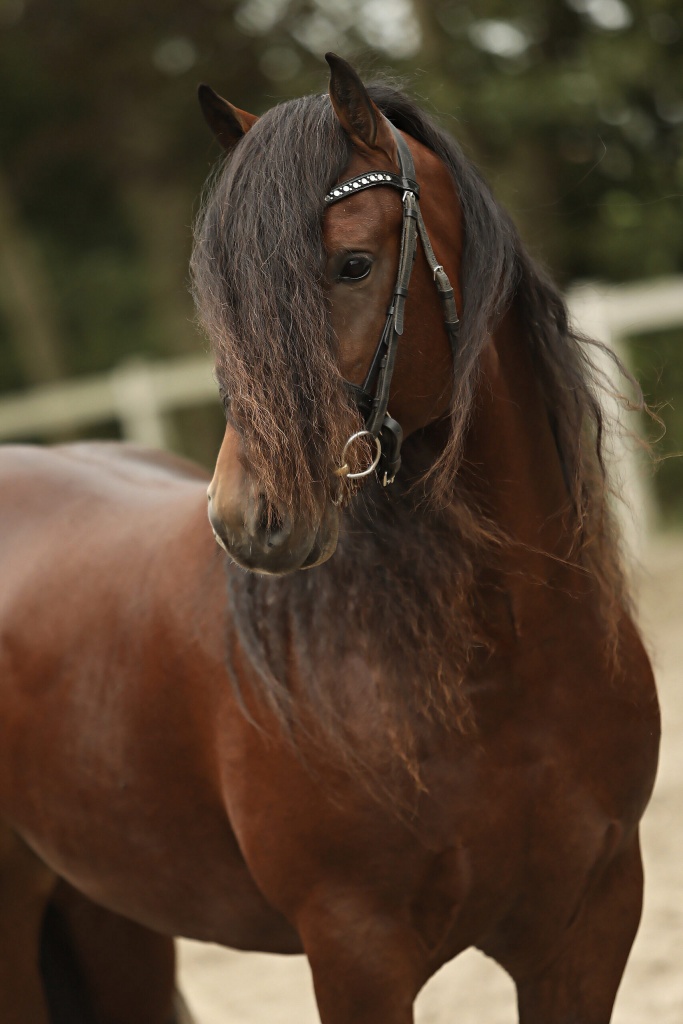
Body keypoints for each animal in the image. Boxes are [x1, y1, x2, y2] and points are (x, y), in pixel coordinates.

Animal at [0, 53, 659, 1024]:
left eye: (353, 265)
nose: (247, 518)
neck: (502, 665)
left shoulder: (585, 932)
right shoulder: (356, 950)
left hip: (110, 918)